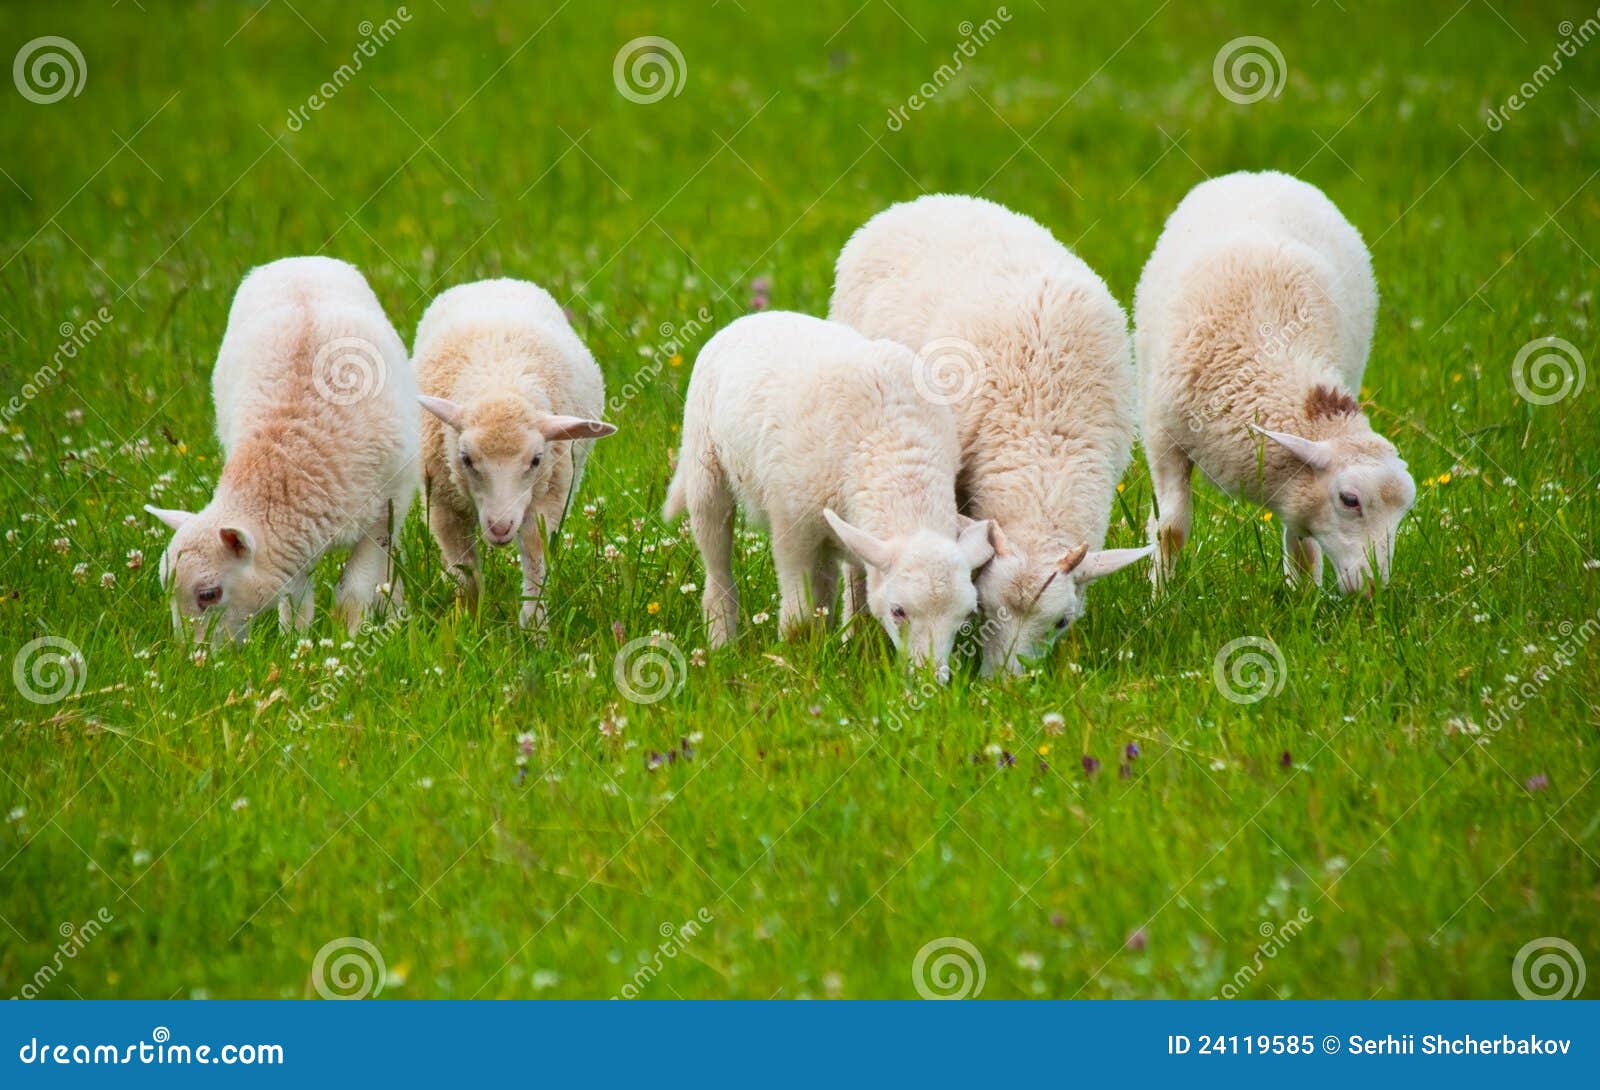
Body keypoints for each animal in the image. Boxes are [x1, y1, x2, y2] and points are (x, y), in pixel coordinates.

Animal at [145, 256, 418, 641]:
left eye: (209, 594)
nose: (192, 655)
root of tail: (298, 259)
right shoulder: (292, 538)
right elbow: (296, 598)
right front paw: (295, 641)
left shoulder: (386, 508)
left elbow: (355, 589)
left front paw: (349, 637)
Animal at [413, 278, 616, 627]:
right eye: (466, 459)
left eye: (535, 460)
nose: (500, 528)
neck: (500, 380)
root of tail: (491, 281)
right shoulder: (441, 503)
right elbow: (465, 573)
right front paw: (468, 621)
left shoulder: (547, 497)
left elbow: (535, 556)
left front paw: (534, 625)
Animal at [662, 311, 994, 681]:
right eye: (898, 611)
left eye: (965, 616)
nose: (930, 683)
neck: (896, 451)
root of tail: (757, 315)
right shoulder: (792, 525)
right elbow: (798, 613)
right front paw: (791, 664)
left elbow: (857, 598)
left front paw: (859, 651)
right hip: (705, 467)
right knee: (717, 566)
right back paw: (721, 643)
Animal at [1134, 170, 1416, 595]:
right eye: (1350, 500)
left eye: (1403, 512)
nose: (1372, 590)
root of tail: (1261, 175)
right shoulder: (1162, 437)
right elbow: (1171, 530)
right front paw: (1158, 598)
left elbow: (1301, 543)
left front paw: (1303, 597)